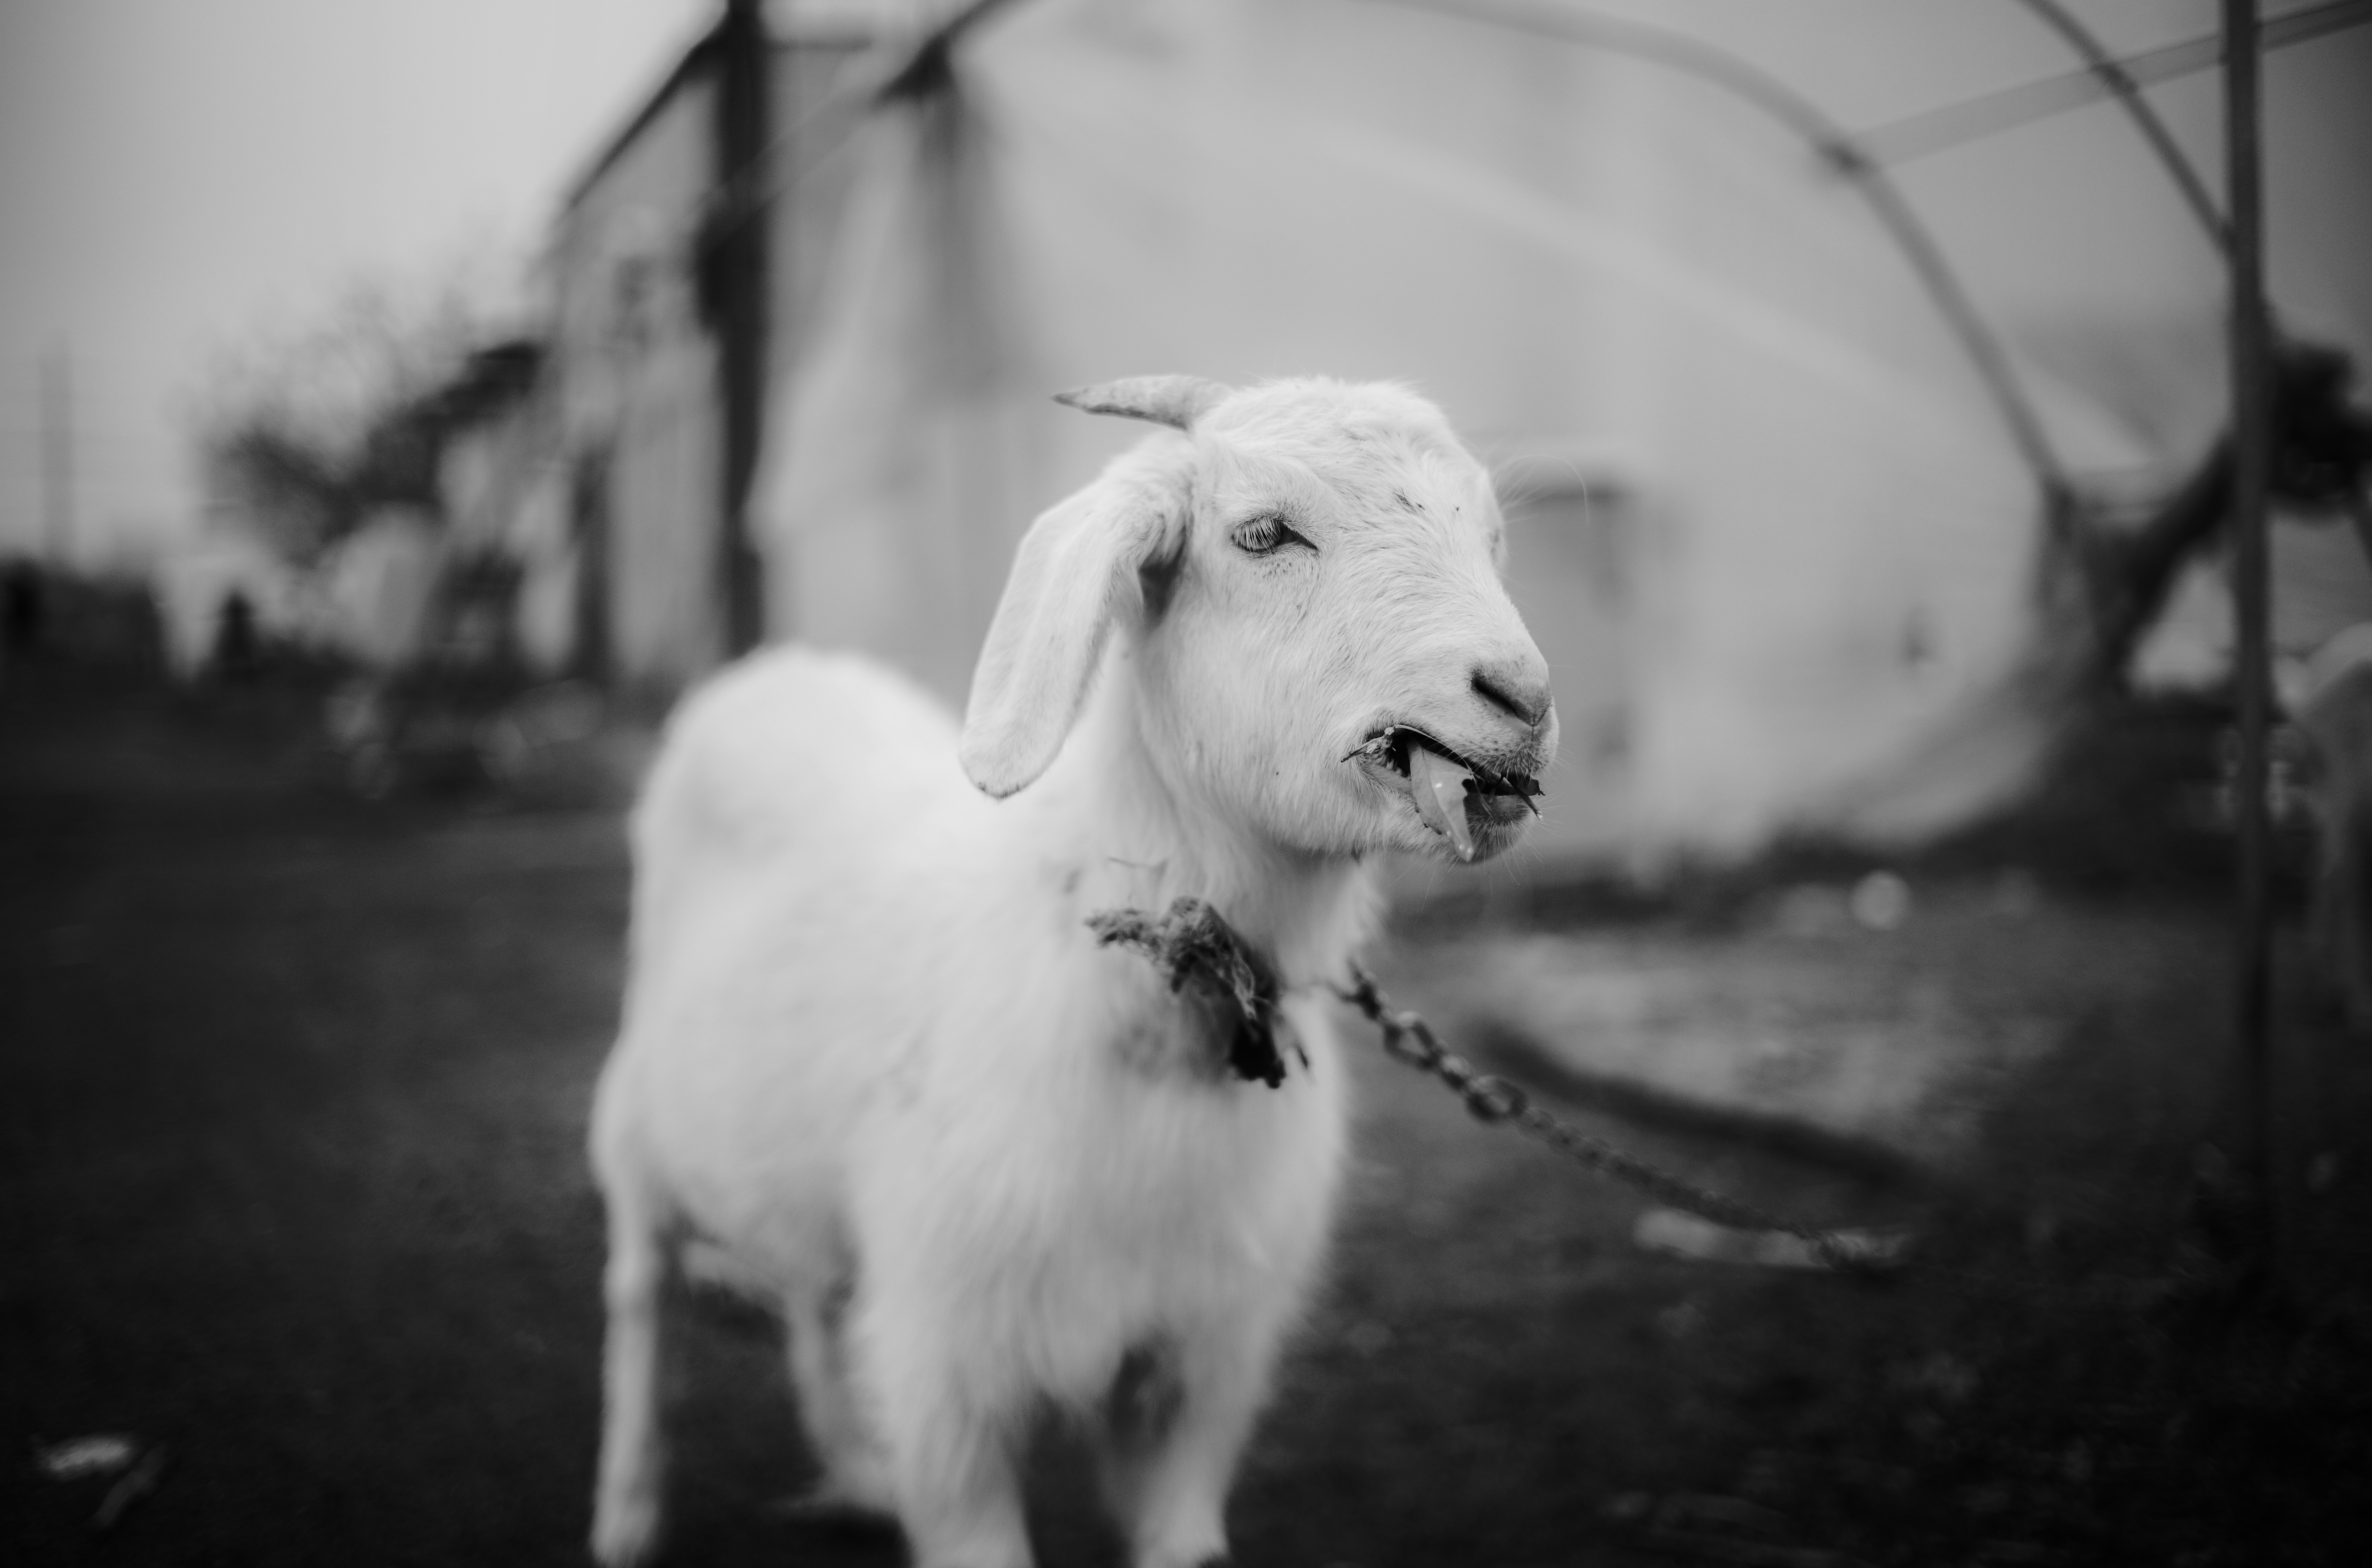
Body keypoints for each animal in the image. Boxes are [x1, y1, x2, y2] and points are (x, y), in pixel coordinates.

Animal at [588, 375, 1558, 1568]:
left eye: (1491, 534)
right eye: (1262, 533)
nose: (1521, 700)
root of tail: (775, 672)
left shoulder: (1195, 1371)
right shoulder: (952, 1375)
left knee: (811, 1290)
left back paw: (856, 1475)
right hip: (636, 1126)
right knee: (642, 1299)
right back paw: (627, 1515)